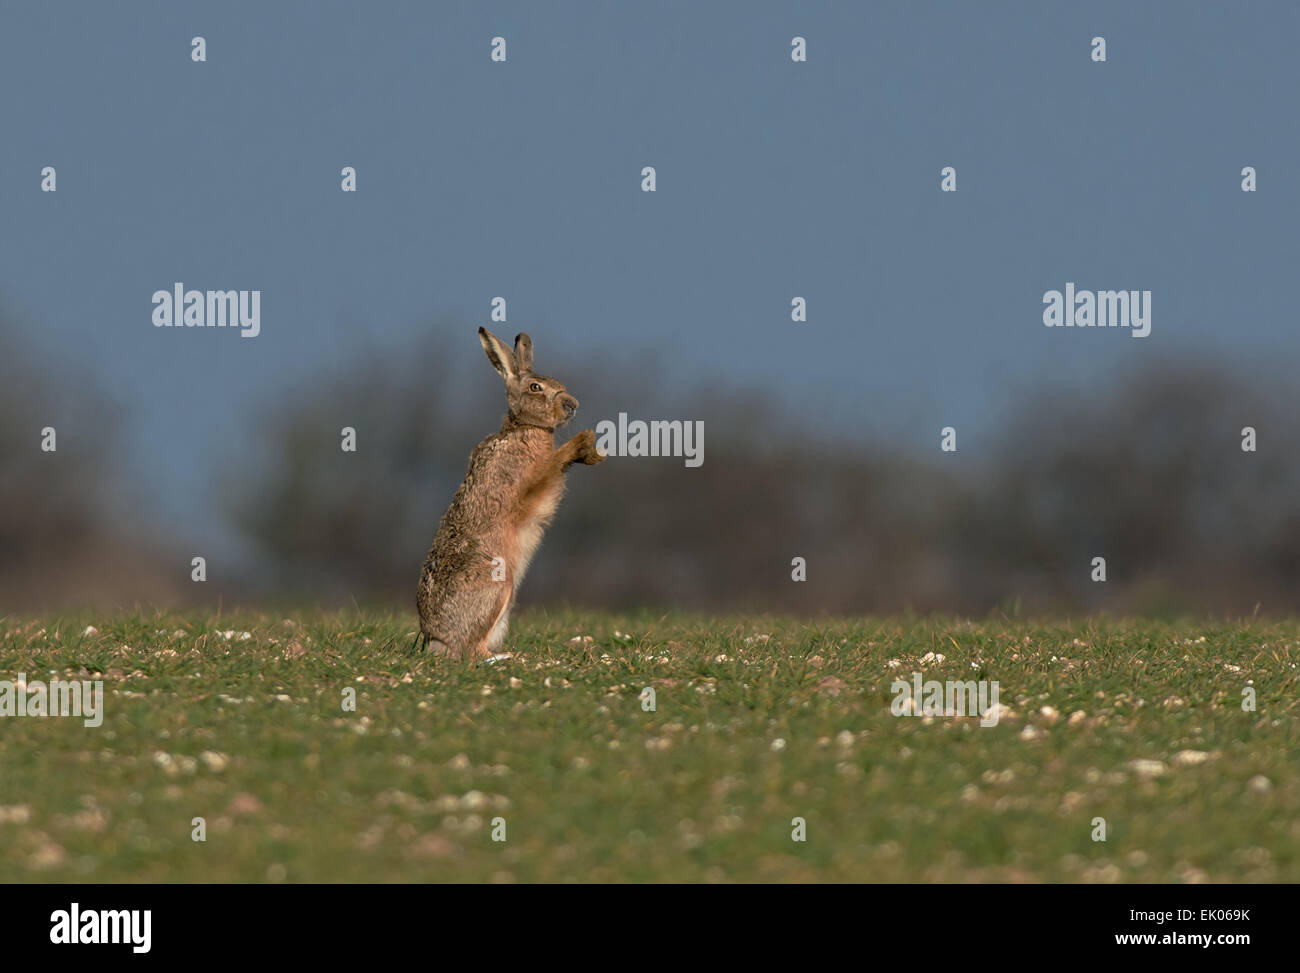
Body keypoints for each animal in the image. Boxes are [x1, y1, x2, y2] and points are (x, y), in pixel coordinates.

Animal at [416, 327, 605, 660]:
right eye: (535, 387)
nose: (573, 404)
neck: (523, 427)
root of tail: (437, 640)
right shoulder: (530, 483)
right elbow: (554, 463)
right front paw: (584, 442)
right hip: (498, 586)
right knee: (473, 650)